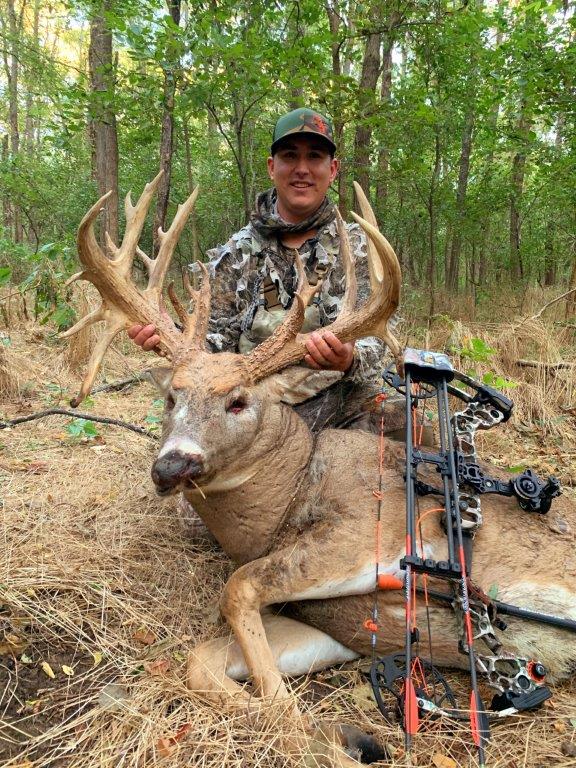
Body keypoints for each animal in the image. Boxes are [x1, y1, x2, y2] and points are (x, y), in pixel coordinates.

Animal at [63, 173, 576, 766]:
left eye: (238, 400)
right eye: (172, 397)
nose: (172, 464)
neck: (288, 496)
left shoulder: (371, 534)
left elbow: (237, 587)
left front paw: (313, 733)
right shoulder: (335, 624)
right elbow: (201, 658)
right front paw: (334, 734)